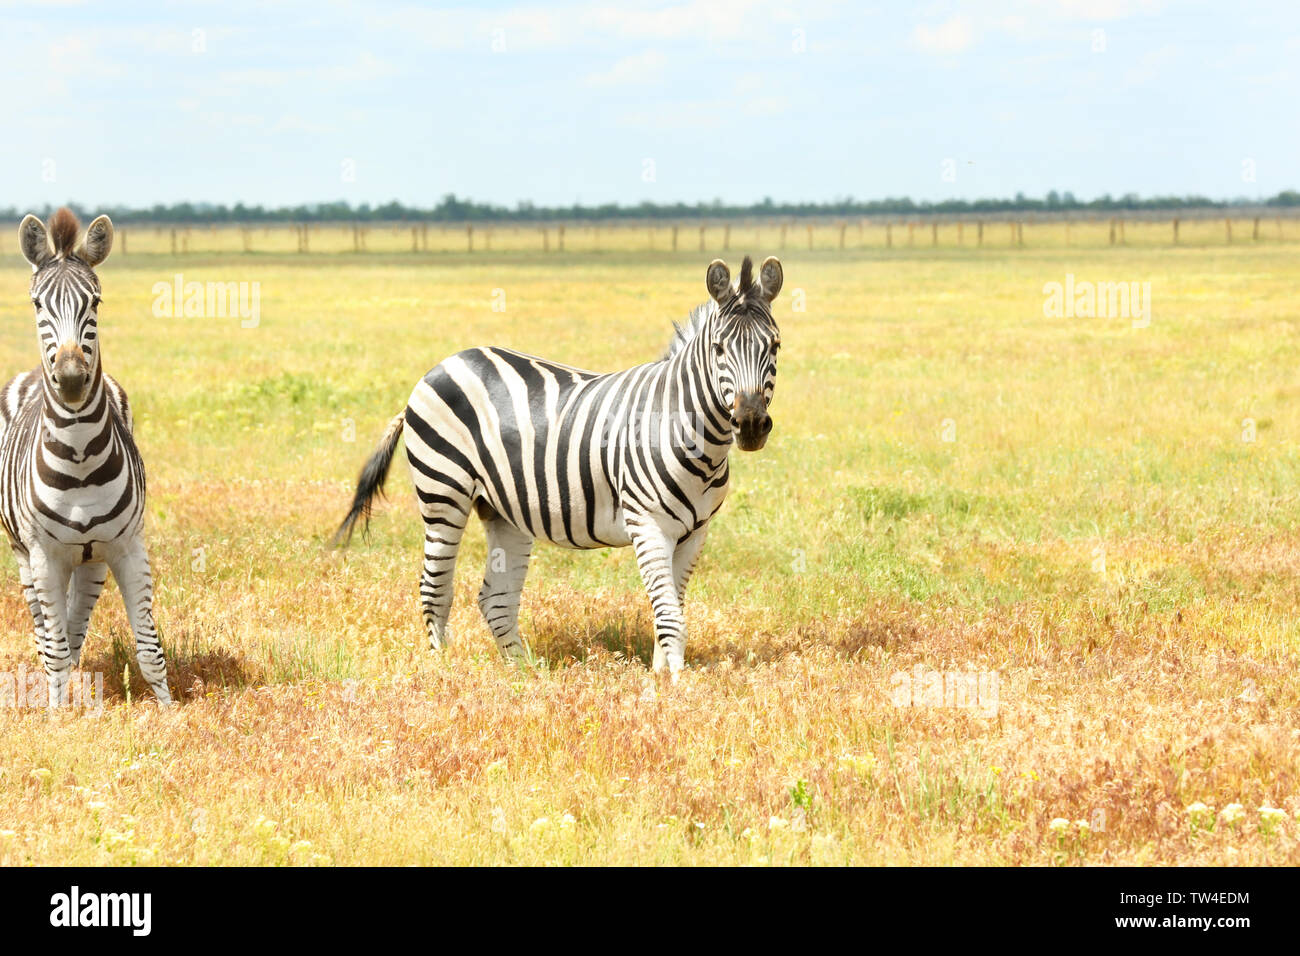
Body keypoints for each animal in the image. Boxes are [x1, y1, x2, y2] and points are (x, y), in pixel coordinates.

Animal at [0, 209, 172, 707]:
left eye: (94, 301)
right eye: (38, 304)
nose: (73, 378)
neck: (78, 457)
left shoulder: (127, 546)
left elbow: (149, 647)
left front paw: (170, 710)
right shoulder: (43, 555)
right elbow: (53, 648)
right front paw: (58, 716)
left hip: (91, 560)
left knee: (75, 623)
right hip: (24, 556)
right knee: (47, 630)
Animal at [334, 255, 783, 677]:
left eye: (775, 346)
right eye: (719, 349)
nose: (750, 424)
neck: (689, 433)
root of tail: (443, 364)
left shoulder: (695, 532)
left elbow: (671, 606)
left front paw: (661, 675)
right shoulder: (648, 524)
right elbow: (670, 614)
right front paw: (674, 685)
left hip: (502, 509)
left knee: (495, 598)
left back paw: (525, 674)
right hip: (443, 493)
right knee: (435, 588)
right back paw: (442, 670)